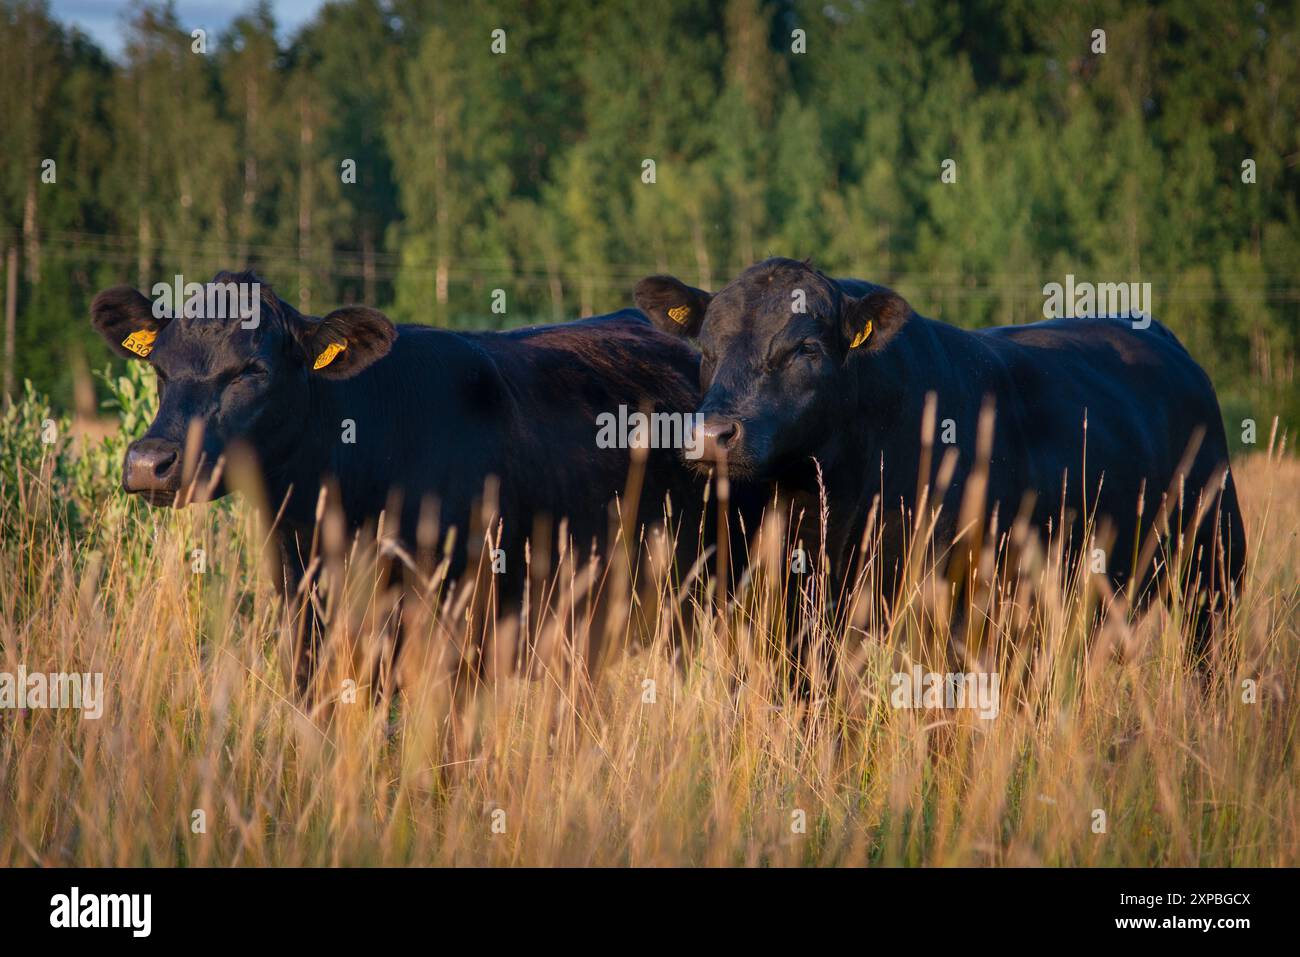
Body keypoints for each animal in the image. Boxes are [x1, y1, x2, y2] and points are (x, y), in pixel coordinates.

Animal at [634, 257, 1246, 669]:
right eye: (705, 347)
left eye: (806, 348)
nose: (712, 434)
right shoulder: (790, 610)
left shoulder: (954, 610)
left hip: (1214, 572)